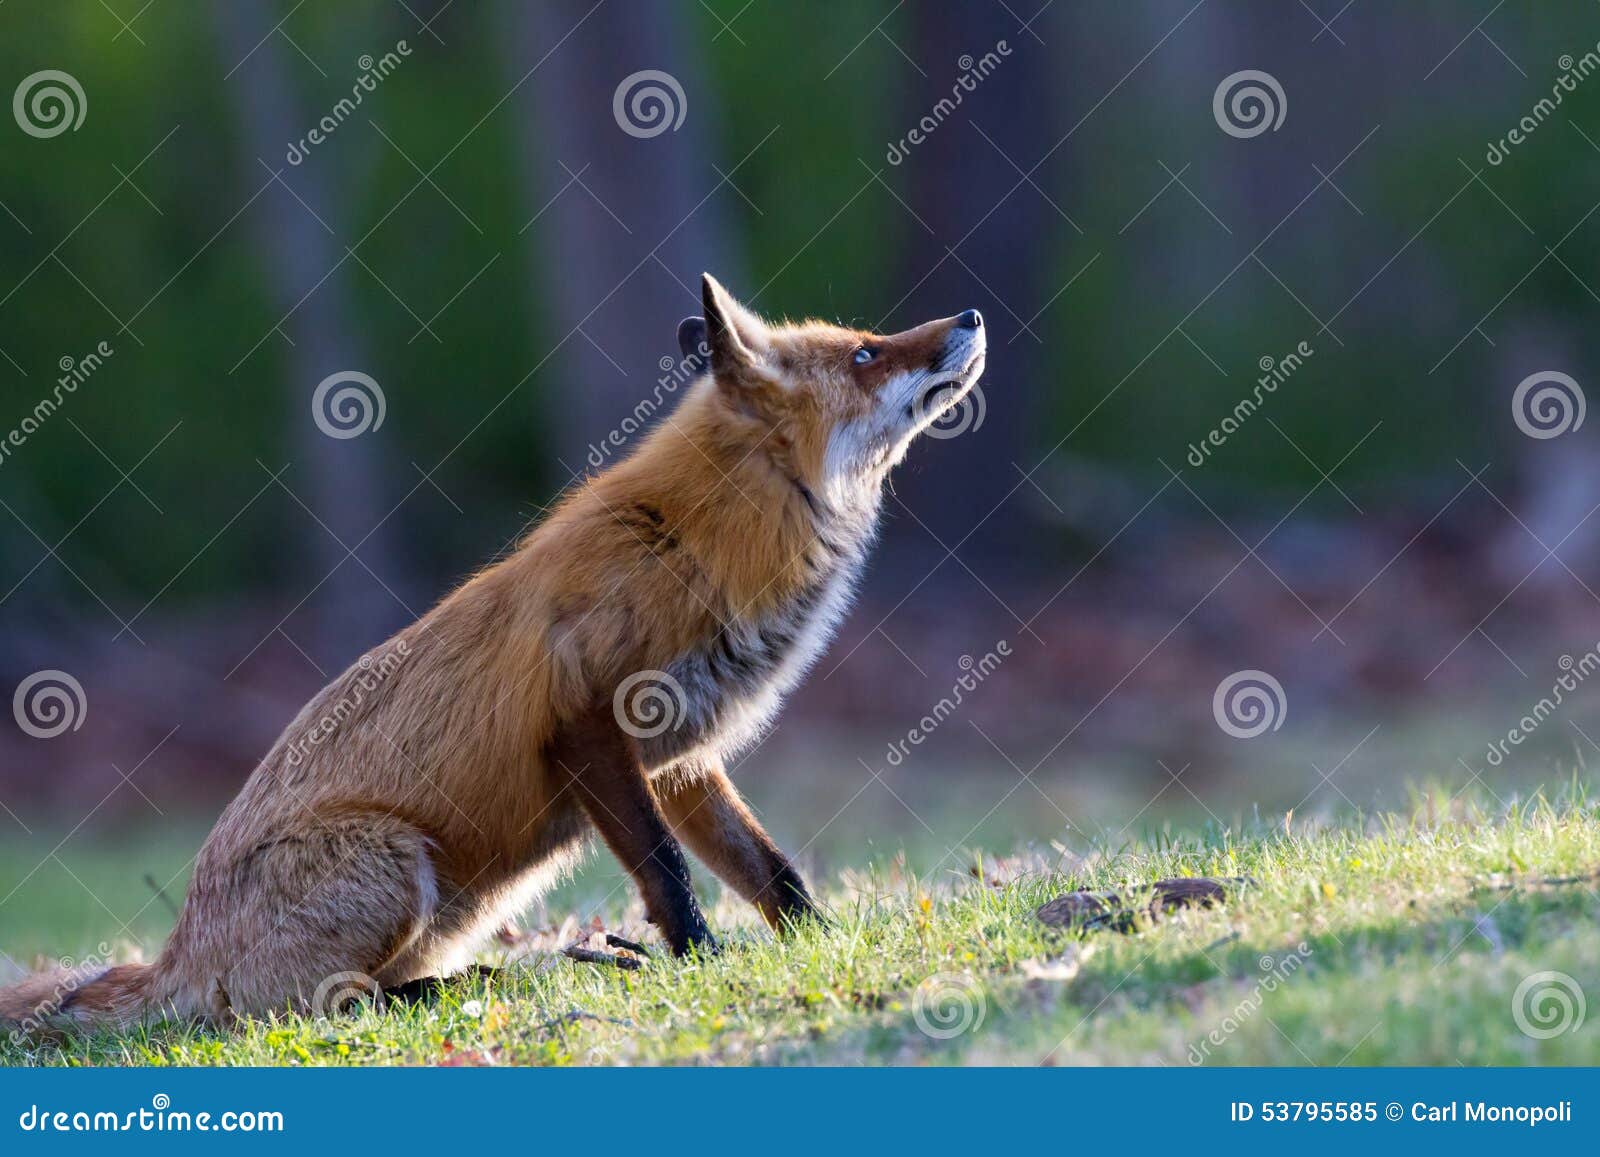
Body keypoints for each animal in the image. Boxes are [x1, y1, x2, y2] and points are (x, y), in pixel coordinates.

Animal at [0, 274, 987, 1030]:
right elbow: (665, 872)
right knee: (307, 1006)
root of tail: (176, 956)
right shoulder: (588, 720)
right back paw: (454, 991)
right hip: (395, 863)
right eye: (864, 353)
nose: (973, 316)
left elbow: (768, 869)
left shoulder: (681, 754)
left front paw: (822, 942)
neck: (689, 544)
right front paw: (700, 962)